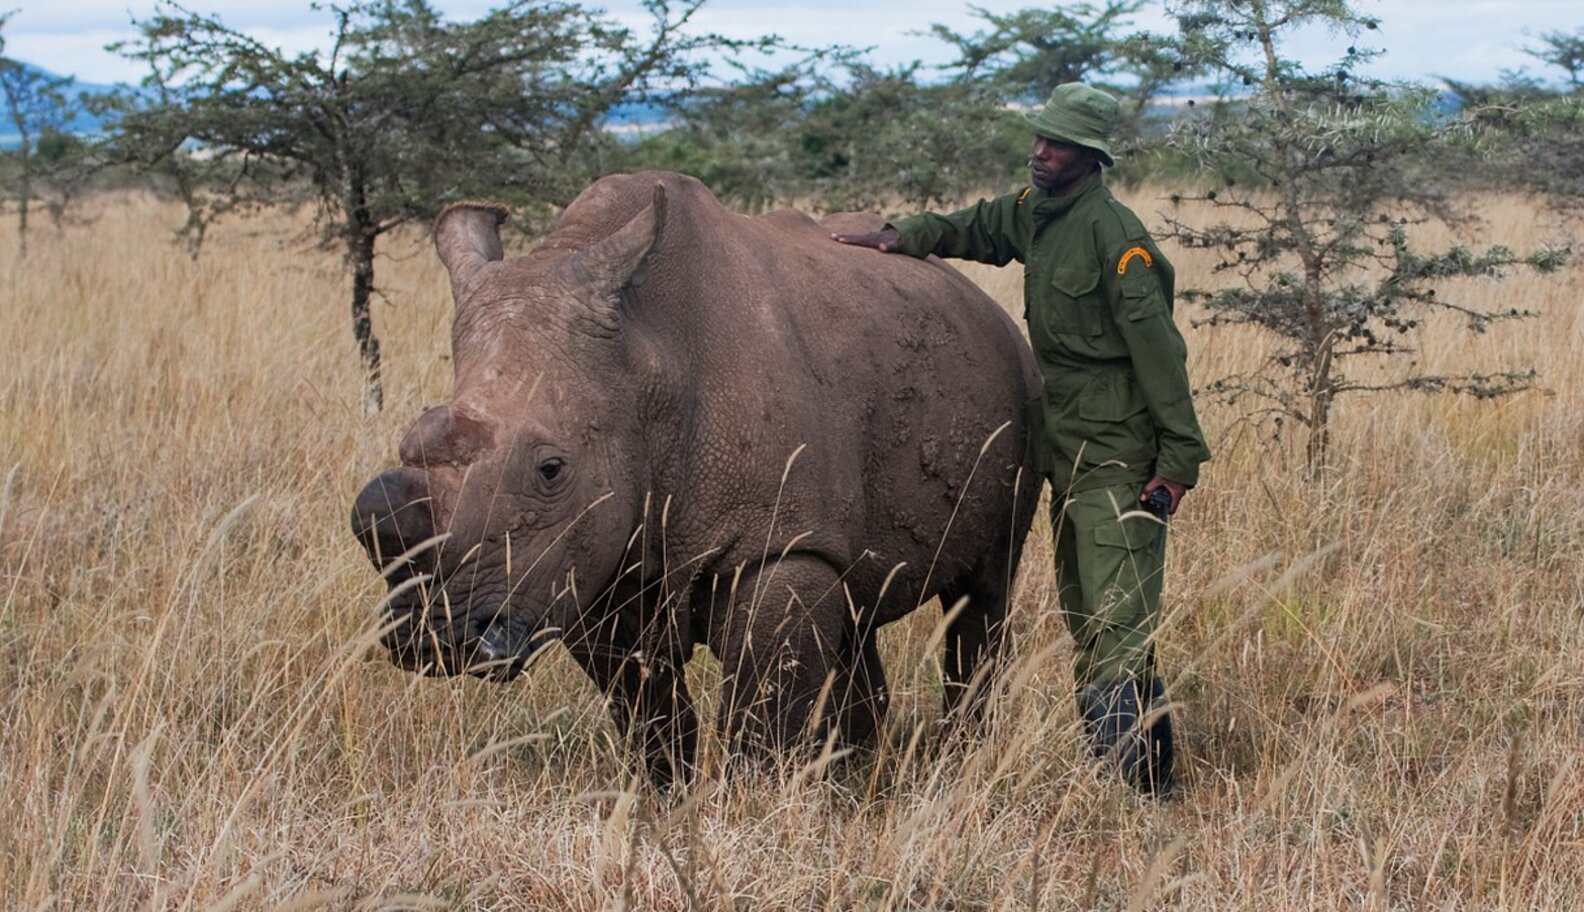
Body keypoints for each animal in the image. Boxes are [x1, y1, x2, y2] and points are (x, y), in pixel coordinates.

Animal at [351, 171, 1040, 783]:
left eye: (551, 469)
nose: (429, 641)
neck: (644, 366)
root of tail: (982, 303)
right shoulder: (593, 563)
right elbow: (646, 712)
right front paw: (666, 802)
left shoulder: (777, 544)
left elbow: (763, 713)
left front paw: (754, 809)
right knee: (857, 603)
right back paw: (854, 778)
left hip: (1023, 384)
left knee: (983, 591)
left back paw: (955, 763)